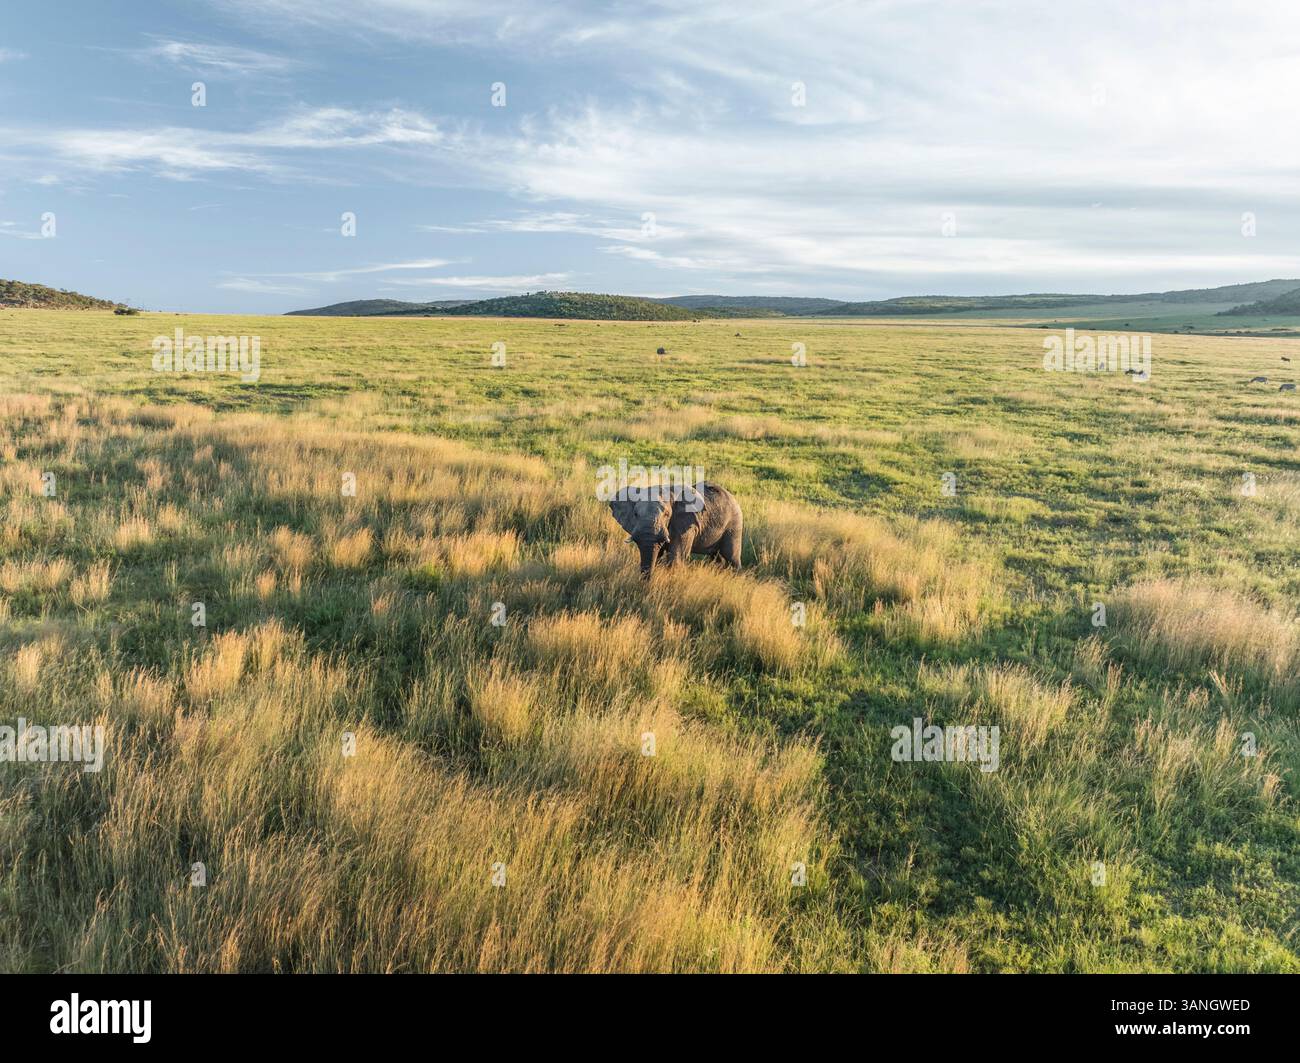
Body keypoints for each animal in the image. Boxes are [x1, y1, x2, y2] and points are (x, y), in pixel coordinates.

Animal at [608, 481, 743, 578]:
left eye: (667, 514)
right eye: (635, 514)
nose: (647, 581)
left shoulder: (683, 524)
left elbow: (675, 559)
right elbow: (657, 554)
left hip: (734, 524)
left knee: (732, 558)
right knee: (717, 557)